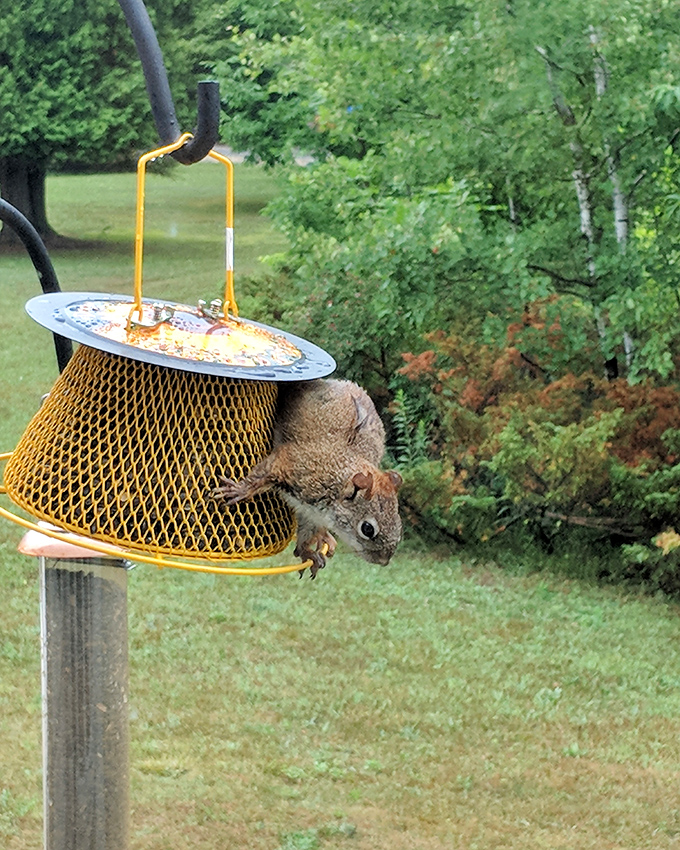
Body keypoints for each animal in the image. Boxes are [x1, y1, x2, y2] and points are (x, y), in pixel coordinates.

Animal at [212, 379, 403, 578]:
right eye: (367, 528)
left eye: (399, 523)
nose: (384, 561)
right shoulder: (297, 465)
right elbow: (263, 475)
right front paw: (240, 490)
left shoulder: (312, 513)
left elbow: (307, 530)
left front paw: (305, 551)